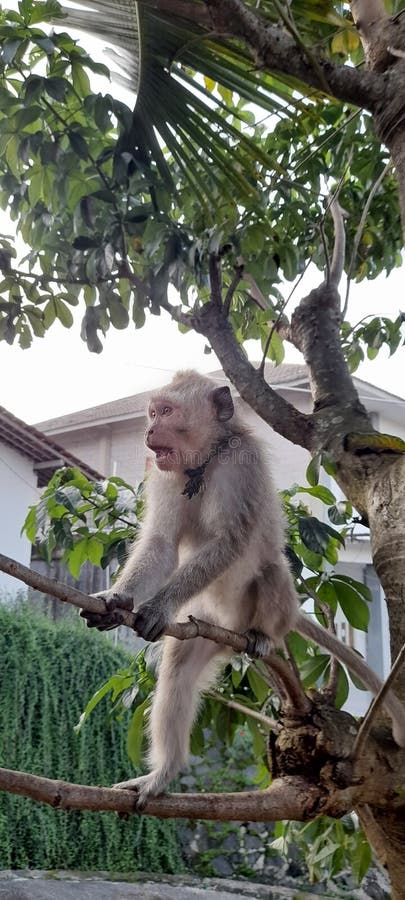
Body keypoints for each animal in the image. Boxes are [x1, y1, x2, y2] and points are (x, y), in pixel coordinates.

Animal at [82, 370, 405, 806]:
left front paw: (159, 606)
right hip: (210, 627)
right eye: (152, 413)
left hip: (265, 611)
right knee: (180, 669)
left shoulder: (242, 464)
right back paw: (164, 773)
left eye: (166, 412)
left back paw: (263, 635)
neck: (204, 462)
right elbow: (161, 545)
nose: (149, 429)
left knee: (271, 571)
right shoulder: (165, 475)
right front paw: (116, 598)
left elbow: (230, 542)